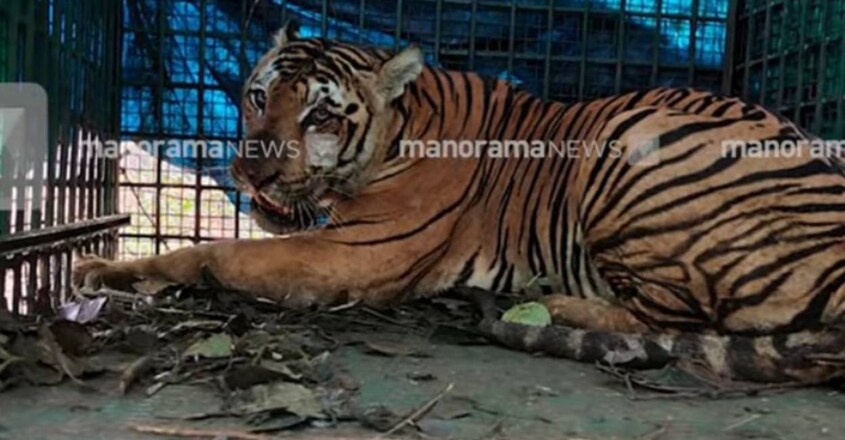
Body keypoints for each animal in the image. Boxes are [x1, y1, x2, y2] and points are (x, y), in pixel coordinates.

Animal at [74, 22, 845, 383]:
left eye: (319, 115)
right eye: (258, 96)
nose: (251, 169)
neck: (396, 131)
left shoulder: (351, 254)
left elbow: (214, 252)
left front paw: (99, 271)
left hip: (634, 139)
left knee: (672, 319)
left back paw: (550, 303)